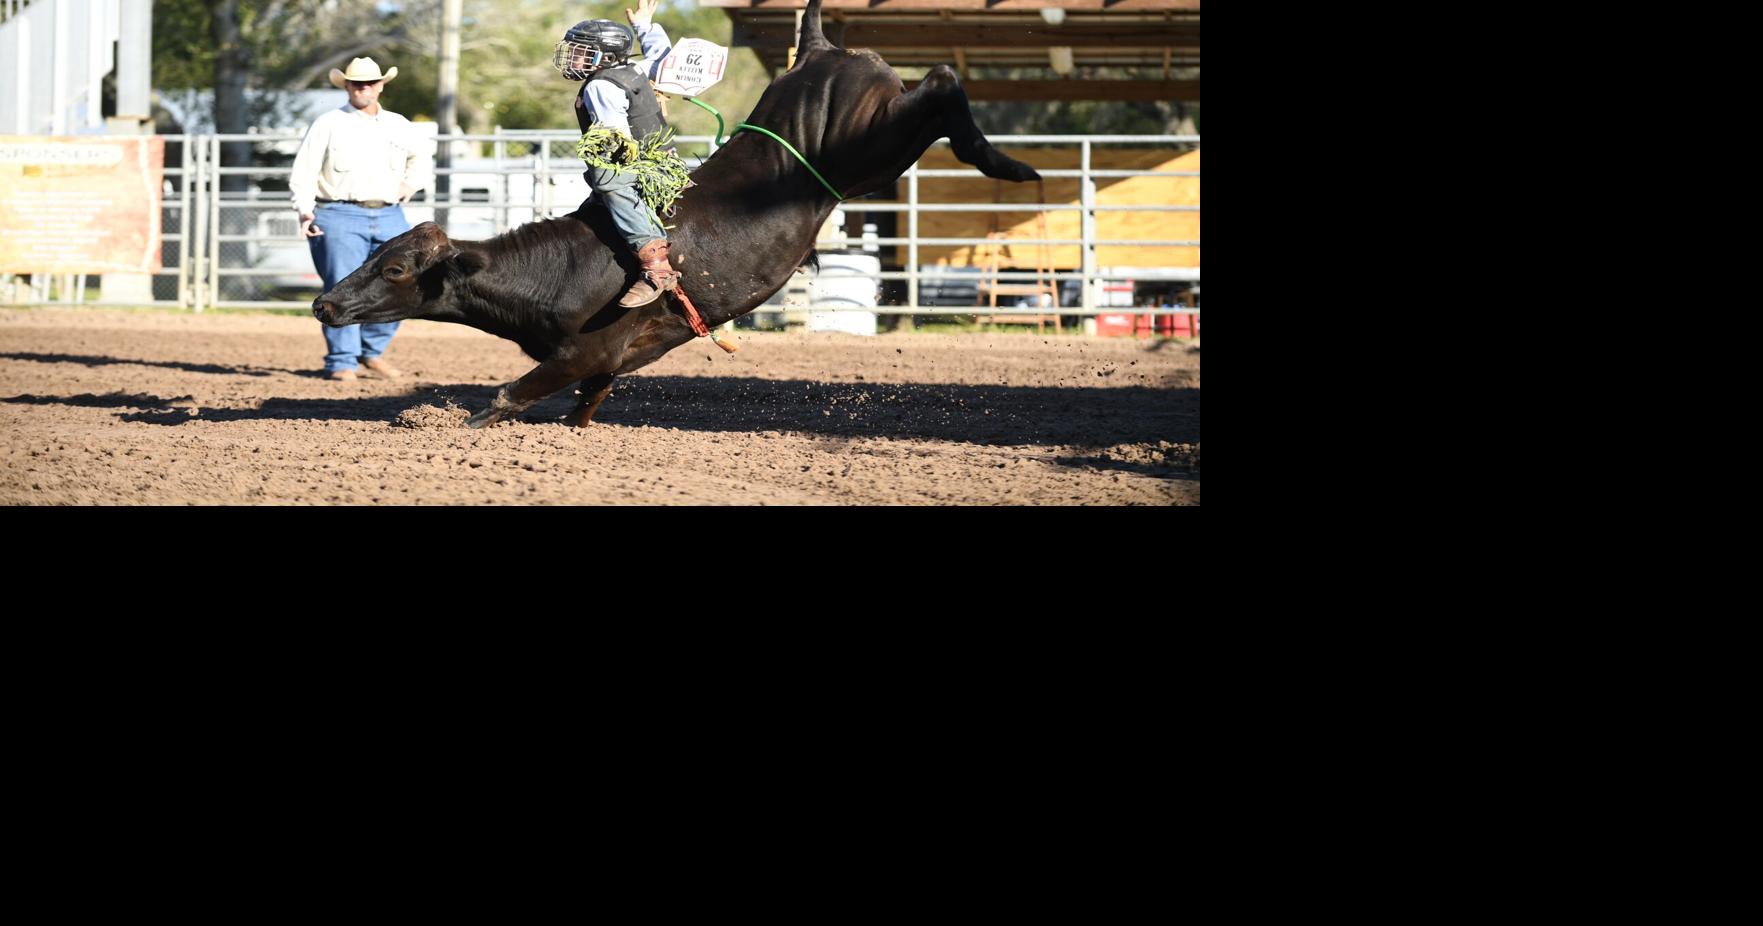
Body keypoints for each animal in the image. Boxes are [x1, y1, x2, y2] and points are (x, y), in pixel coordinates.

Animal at [313, 0, 1040, 428]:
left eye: (397, 268)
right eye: (376, 254)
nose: (325, 304)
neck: (553, 267)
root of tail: (819, 50)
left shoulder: (587, 349)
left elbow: (506, 397)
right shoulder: (609, 364)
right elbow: (583, 407)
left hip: (864, 143)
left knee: (941, 81)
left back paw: (1007, 164)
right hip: (862, 166)